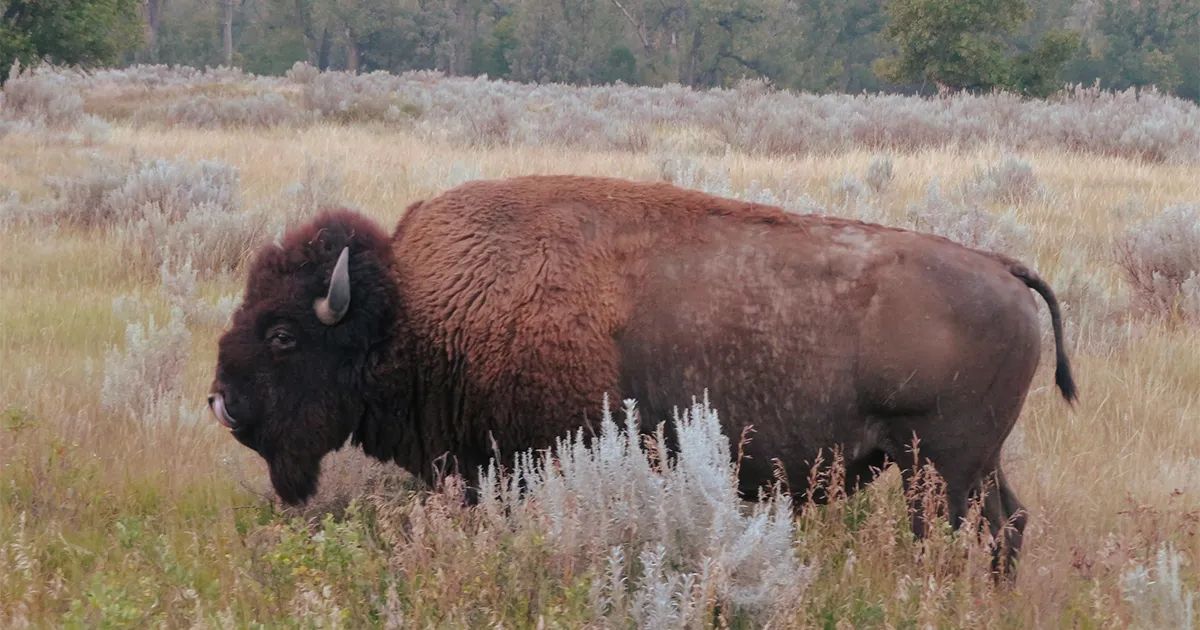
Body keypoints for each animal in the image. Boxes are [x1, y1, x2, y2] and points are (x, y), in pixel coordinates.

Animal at [210, 174, 1075, 575]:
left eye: (282, 333)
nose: (222, 402)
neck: (416, 310)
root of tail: (1001, 267)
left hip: (941, 464)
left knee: (968, 533)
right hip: (967, 462)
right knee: (1010, 525)